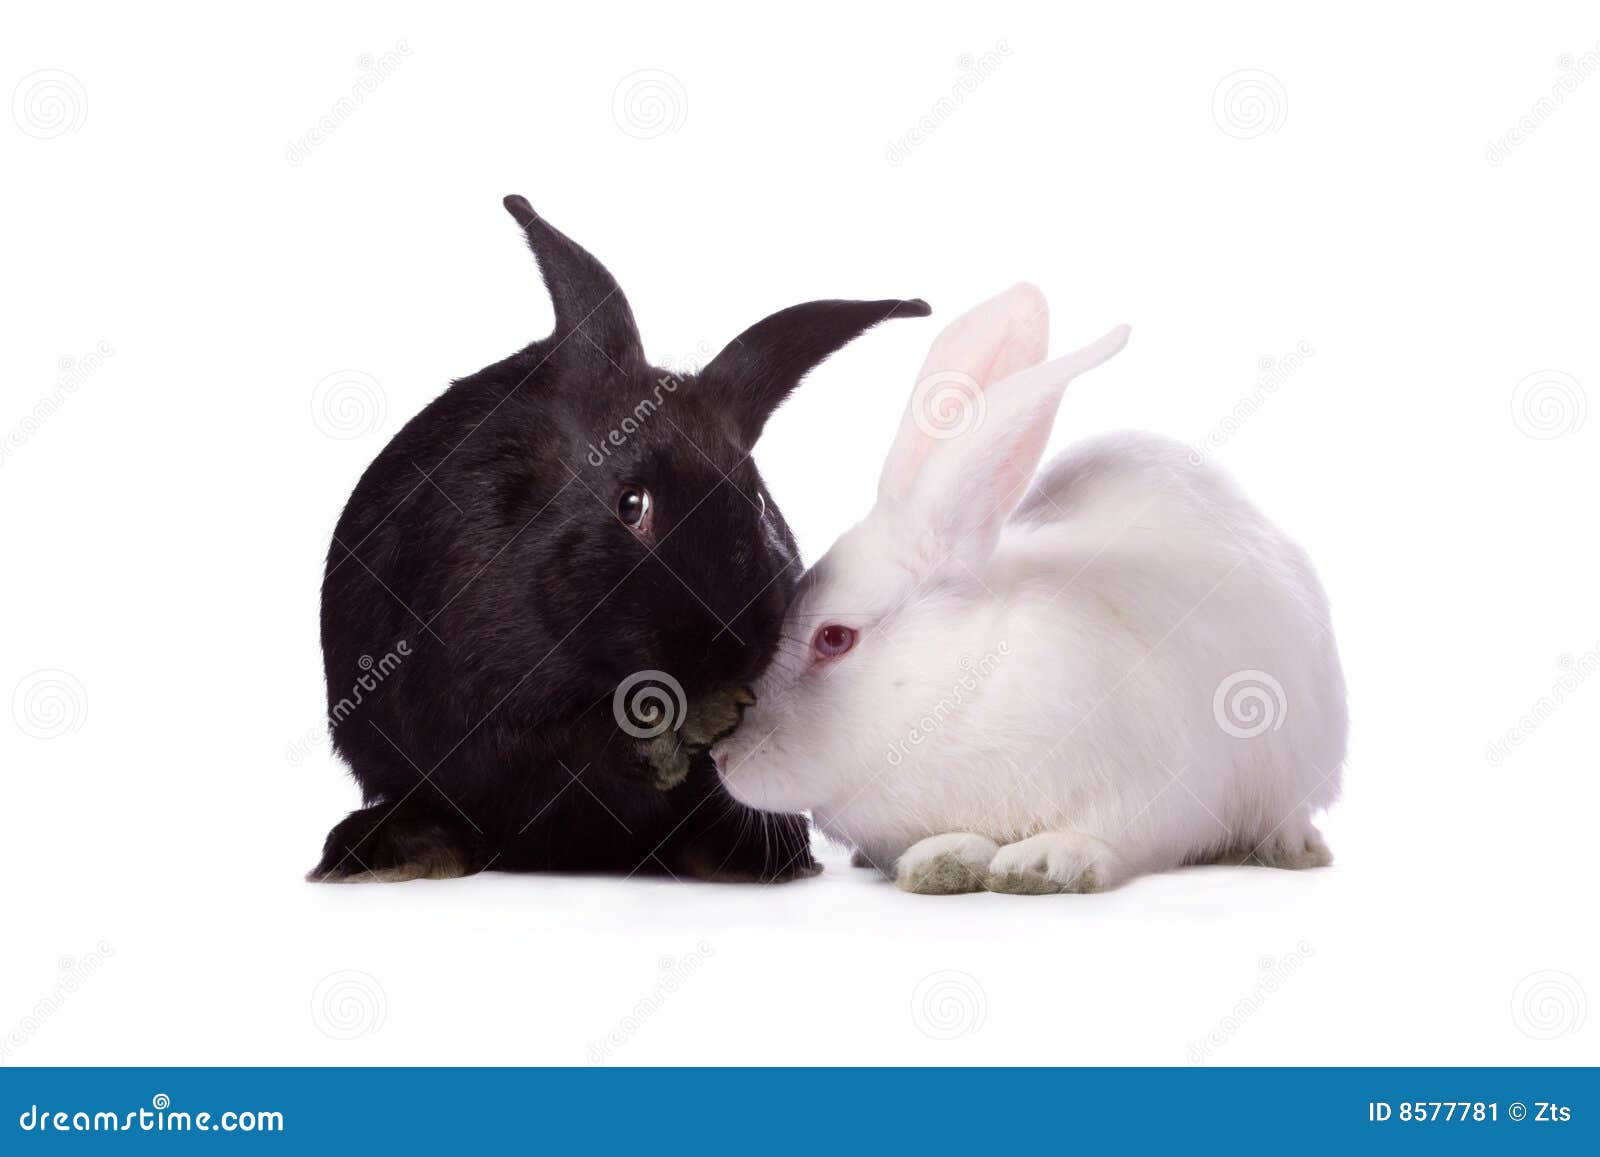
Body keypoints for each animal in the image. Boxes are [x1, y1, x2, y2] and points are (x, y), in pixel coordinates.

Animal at [309, 194, 929, 884]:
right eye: (632, 504)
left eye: (760, 505)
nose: (727, 655)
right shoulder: (473, 704)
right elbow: (538, 753)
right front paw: (648, 747)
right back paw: (386, 851)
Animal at [711, 283, 1346, 894]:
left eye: (835, 638)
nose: (722, 756)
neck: (958, 688)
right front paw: (943, 862)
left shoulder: (1146, 785)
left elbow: (1105, 837)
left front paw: (1042, 864)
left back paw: (1292, 849)